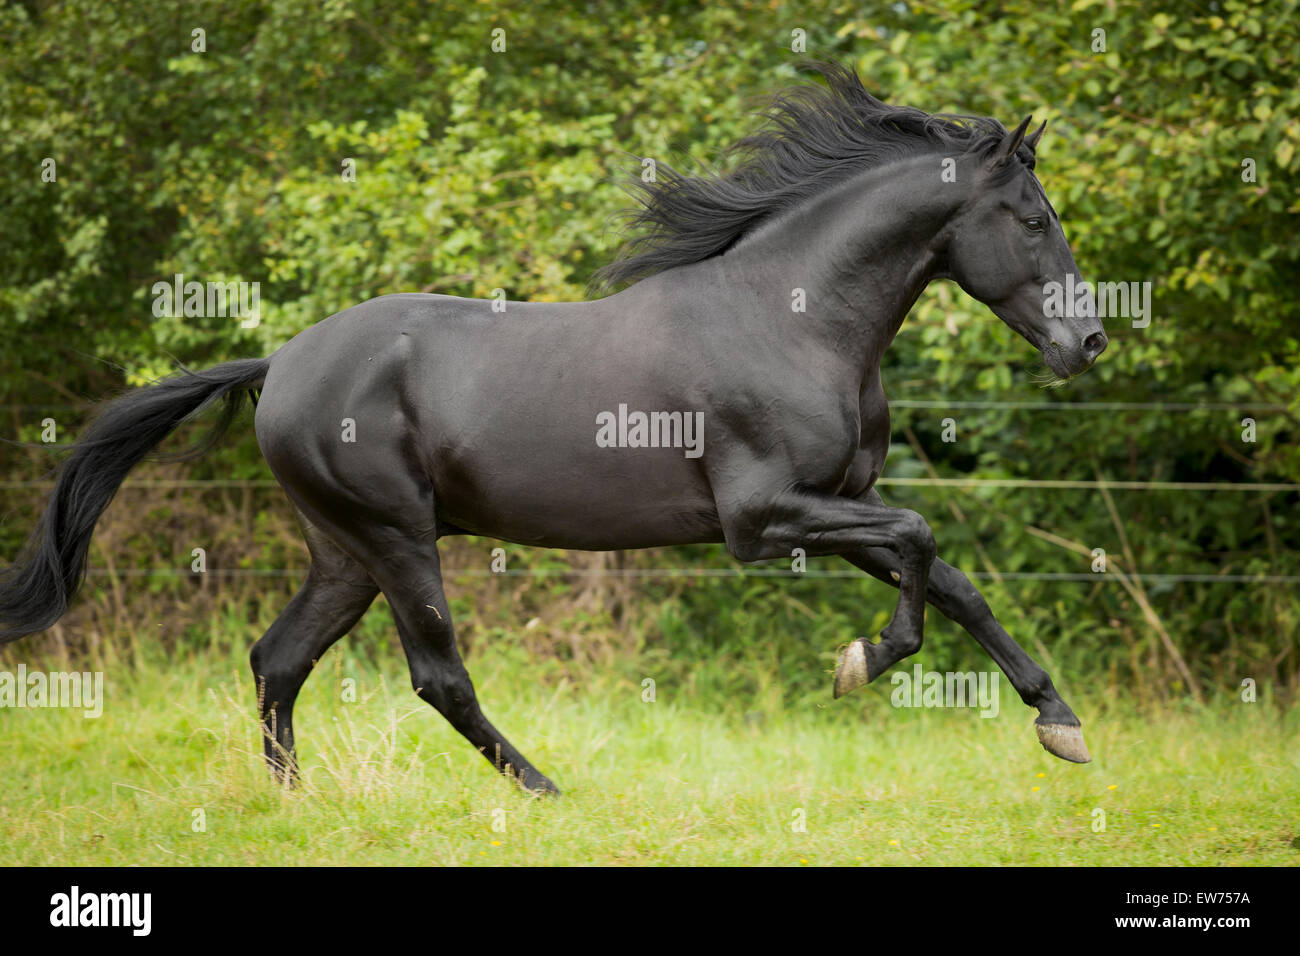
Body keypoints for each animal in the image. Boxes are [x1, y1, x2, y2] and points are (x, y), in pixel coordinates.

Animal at [0, 63, 1107, 790]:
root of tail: (278, 365)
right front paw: (861, 663)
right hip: (395, 537)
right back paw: (543, 790)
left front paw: (1060, 723)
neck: (790, 315)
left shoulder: (836, 502)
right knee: (436, 675)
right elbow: (922, 545)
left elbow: (953, 578)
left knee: (278, 659)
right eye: (1033, 218)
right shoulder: (764, 520)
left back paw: (295, 801)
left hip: (345, 550)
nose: (1089, 340)